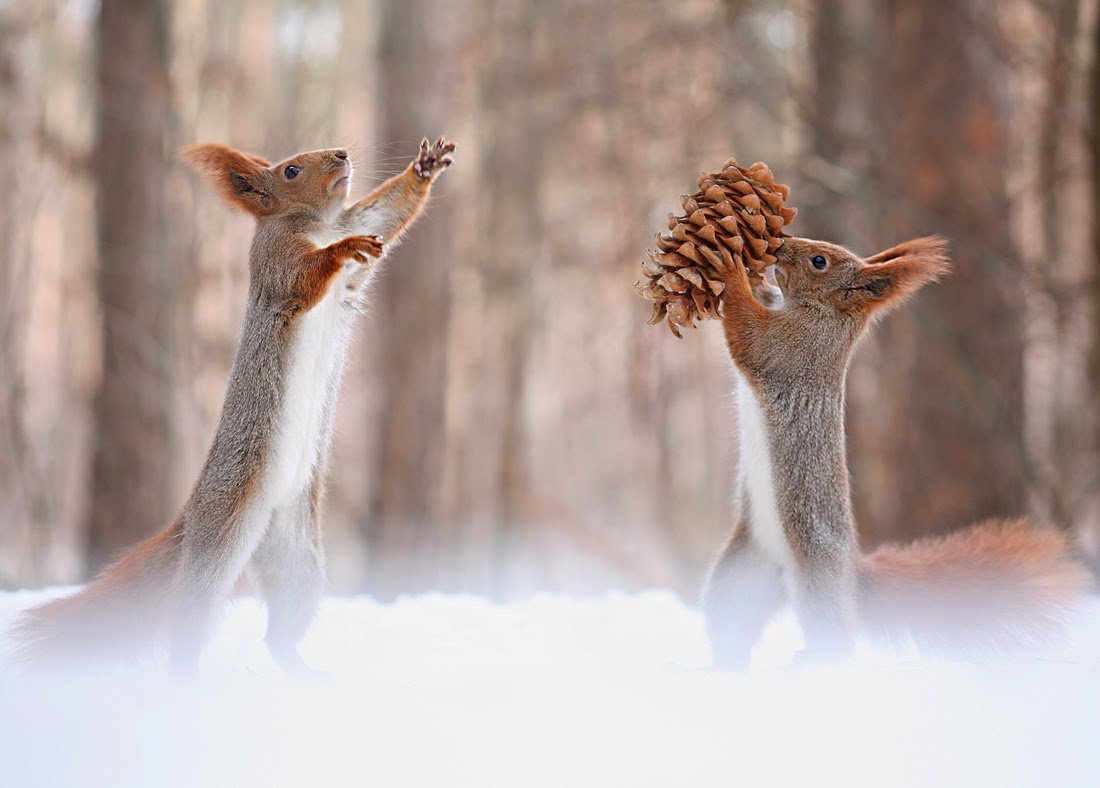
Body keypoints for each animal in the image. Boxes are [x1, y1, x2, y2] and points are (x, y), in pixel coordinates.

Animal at [6, 136, 456, 675]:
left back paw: (300, 670)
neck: (318, 224)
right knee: (190, 617)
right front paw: (340, 251)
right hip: (221, 540)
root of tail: (194, 519)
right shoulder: (275, 262)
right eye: (290, 170)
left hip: (300, 558)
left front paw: (425, 167)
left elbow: (386, 214)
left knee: (281, 626)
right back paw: (187, 677)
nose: (343, 154)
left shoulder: (358, 224)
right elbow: (303, 277)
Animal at [703, 235, 1094, 669]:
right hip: (740, 579)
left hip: (818, 570)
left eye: (819, 261)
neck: (823, 313)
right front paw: (752, 272)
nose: (781, 244)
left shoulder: (793, 348)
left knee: (835, 635)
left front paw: (731, 270)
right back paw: (718, 667)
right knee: (729, 624)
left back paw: (811, 661)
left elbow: (749, 336)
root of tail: (852, 575)